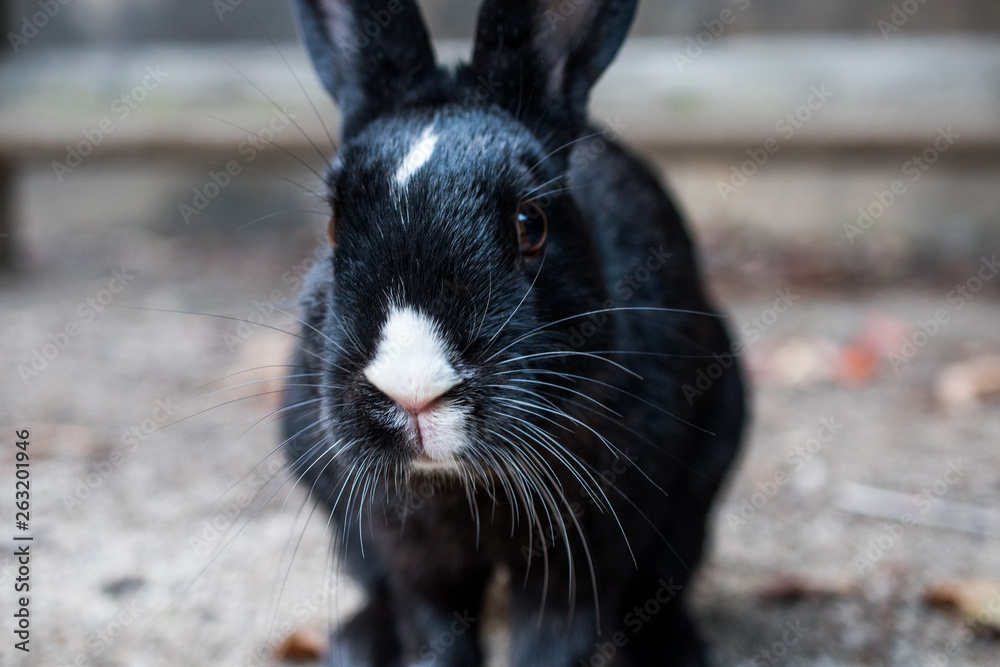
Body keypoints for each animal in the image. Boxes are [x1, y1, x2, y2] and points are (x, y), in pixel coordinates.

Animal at [280, 1, 746, 665]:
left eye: (532, 222)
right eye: (333, 226)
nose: (413, 393)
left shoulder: (587, 550)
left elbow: (554, 637)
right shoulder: (412, 554)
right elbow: (433, 629)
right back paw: (355, 642)